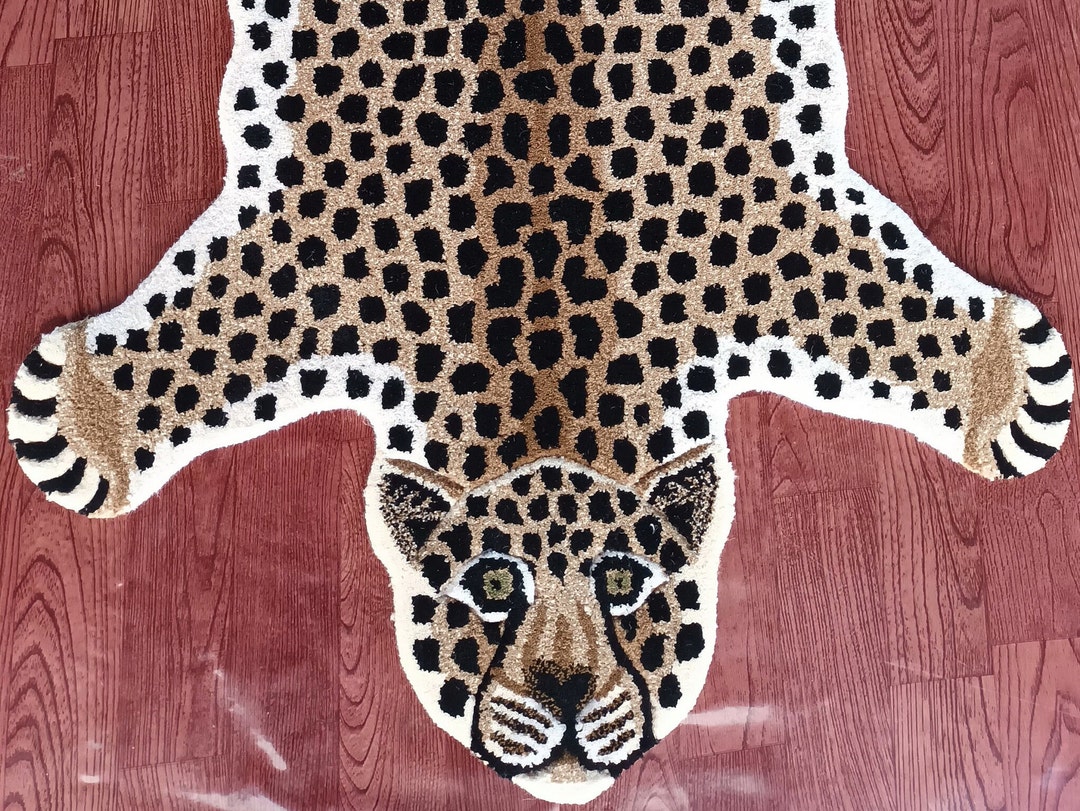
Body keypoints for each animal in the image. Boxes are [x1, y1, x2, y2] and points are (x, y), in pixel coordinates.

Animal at [6, 0, 1072, 802]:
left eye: (624, 581)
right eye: (490, 588)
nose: (564, 694)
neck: (551, 381)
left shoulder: (764, 227)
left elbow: (880, 310)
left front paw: (1008, 377)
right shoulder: (315, 243)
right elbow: (213, 333)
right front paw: (81, 412)